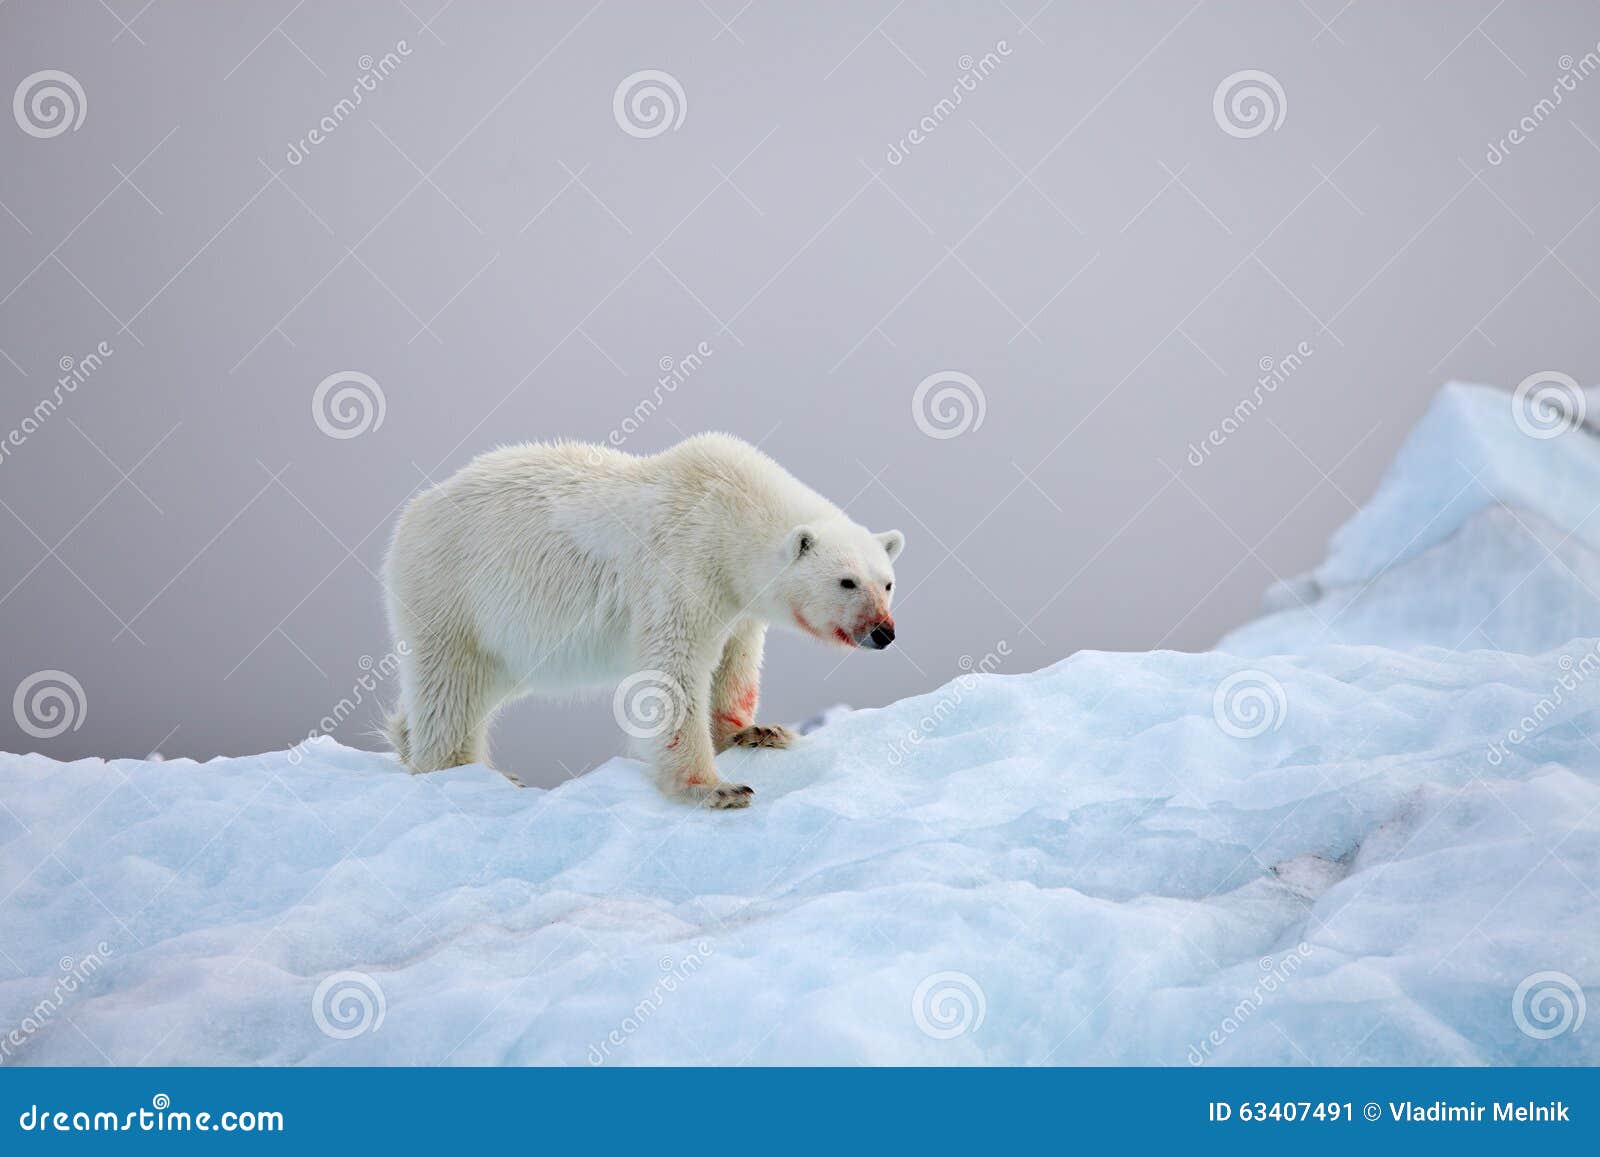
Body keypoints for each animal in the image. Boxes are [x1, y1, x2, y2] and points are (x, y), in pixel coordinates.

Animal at [382, 432, 903, 808]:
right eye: (846, 582)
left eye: (887, 582)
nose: (884, 632)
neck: (729, 507)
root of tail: (412, 514)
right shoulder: (683, 565)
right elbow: (673, 667)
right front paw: (716, 788)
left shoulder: (736, 600)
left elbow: (736, 660)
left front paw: (755, 733)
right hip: (452, 591)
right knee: (451, 685)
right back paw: (460, 769)